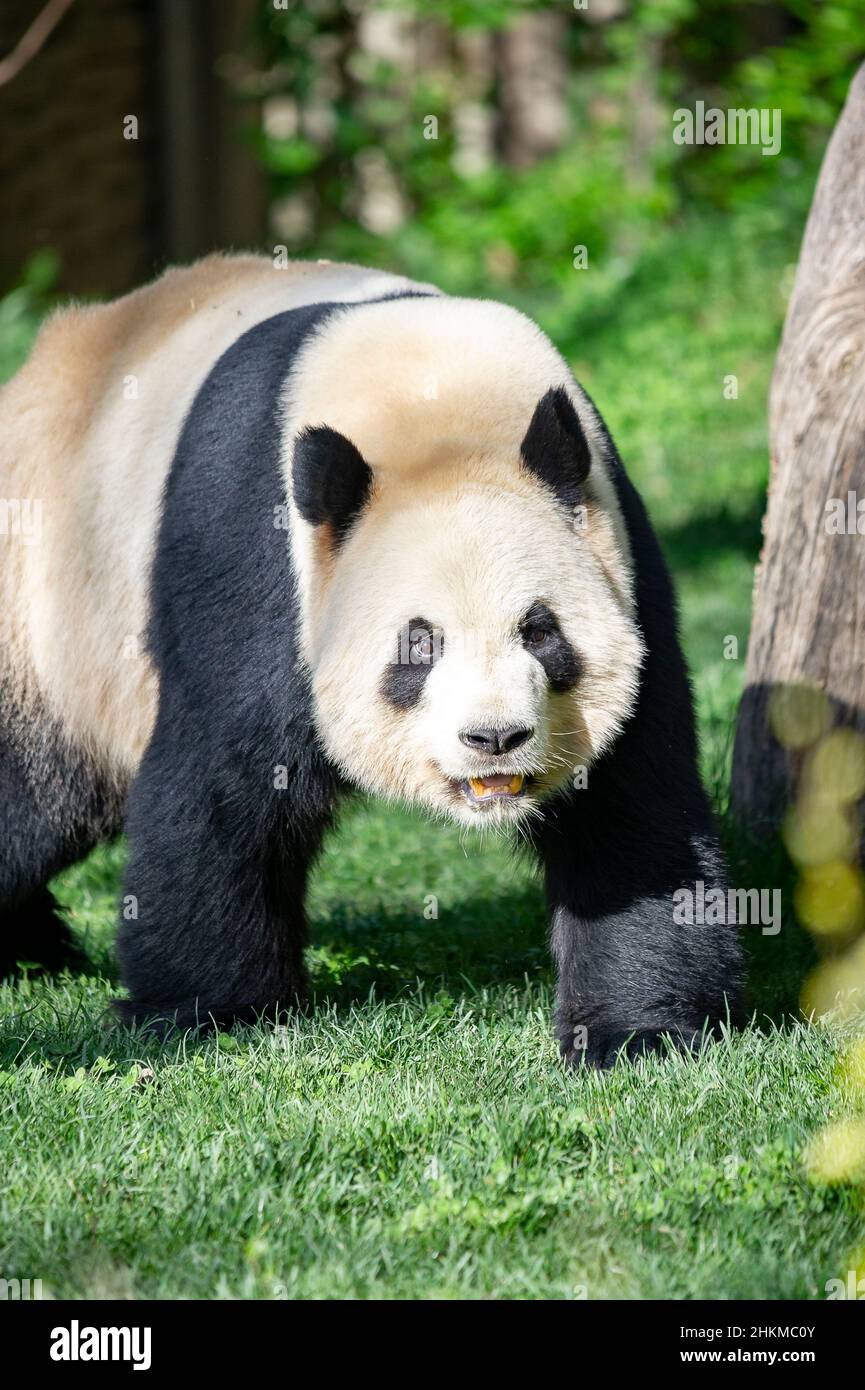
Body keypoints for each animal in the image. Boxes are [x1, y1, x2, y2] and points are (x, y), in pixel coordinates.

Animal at [0, 254, 741, 1067]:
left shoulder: (620, 557)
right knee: (30, 792)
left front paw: (637, 1030)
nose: (494, 739)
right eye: (419, 643)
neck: (434, 401)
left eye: (541, 631)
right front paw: (205, 1012)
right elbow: (222, 782)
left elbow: (628, 803)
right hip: (50, 607)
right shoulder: (254, 560)